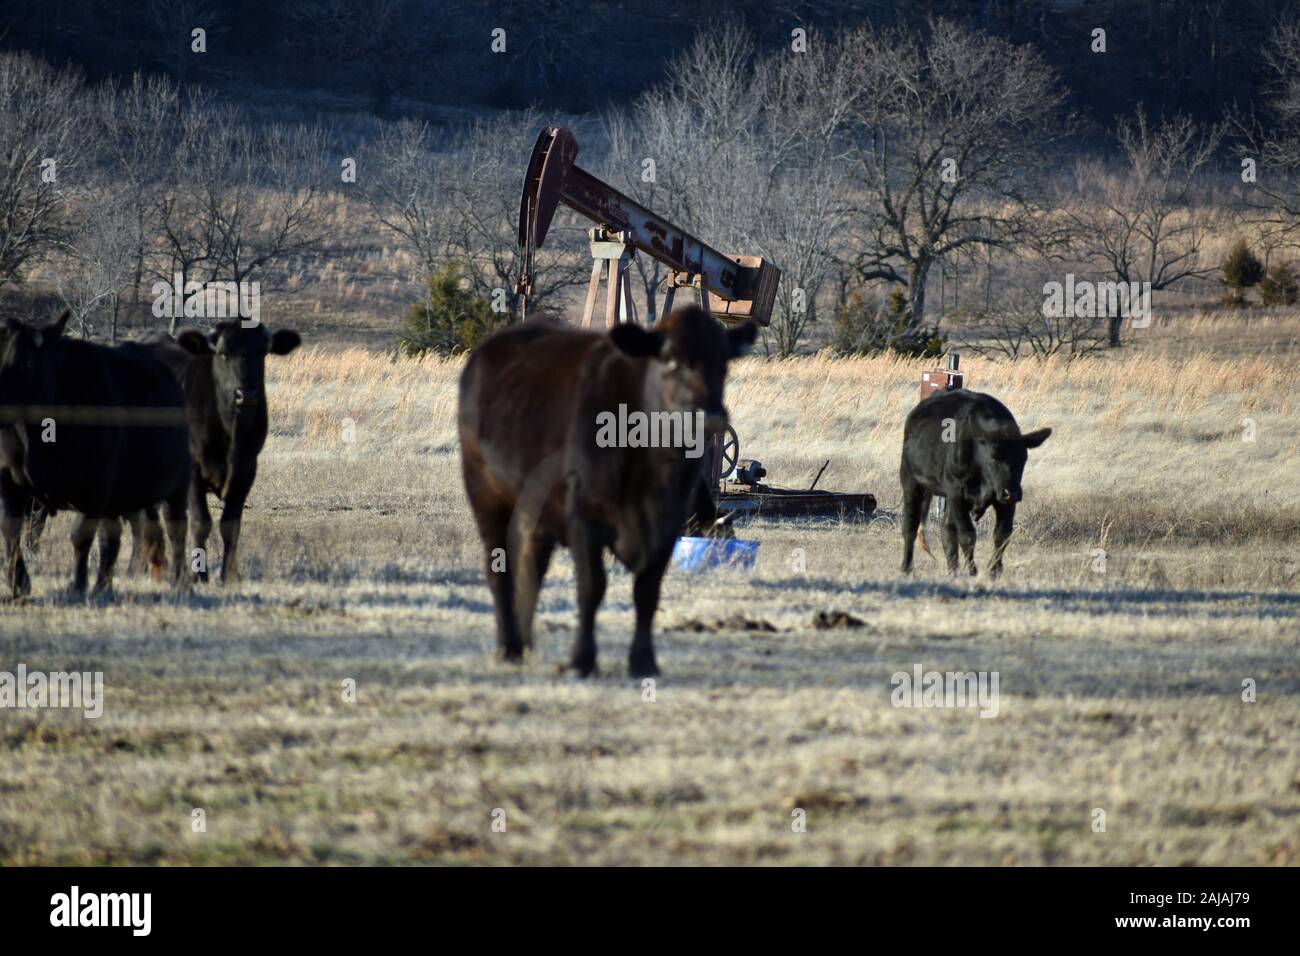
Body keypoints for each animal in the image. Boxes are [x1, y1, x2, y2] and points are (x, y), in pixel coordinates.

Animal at [0, 311, 191, 598]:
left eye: (23, 362)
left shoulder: (94, 488)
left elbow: (80, 536)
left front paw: (76, 584)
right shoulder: (9, 483)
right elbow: (11, 531)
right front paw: (18, 582)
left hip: (176, 487)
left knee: (175, 529)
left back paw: (179, 581)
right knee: (116, 537)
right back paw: (104, 584)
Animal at [458, 306, 756, 678]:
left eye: (725, 363)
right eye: (669, 358)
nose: (709, 416)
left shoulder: (667, 526)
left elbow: (647, 592)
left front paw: (643, 661)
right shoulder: (585, 518)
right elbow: (591, 587)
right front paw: (582, 660)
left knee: (531, 568)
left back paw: (525, 644)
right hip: (484, 492)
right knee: (499, 571)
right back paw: (508, 647)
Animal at [899, 389, 1051, 578]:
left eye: (1023, 458)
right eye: (993, 457)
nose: (1012, 492)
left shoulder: (1005, 501)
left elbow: (1002, 535)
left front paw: (994, 570)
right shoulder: (957, 494)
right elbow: (967, 535)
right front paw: (972, 571)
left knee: (947, 530)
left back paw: (953, 571)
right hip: (911, 482)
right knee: (910, 526)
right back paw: (906, 567)